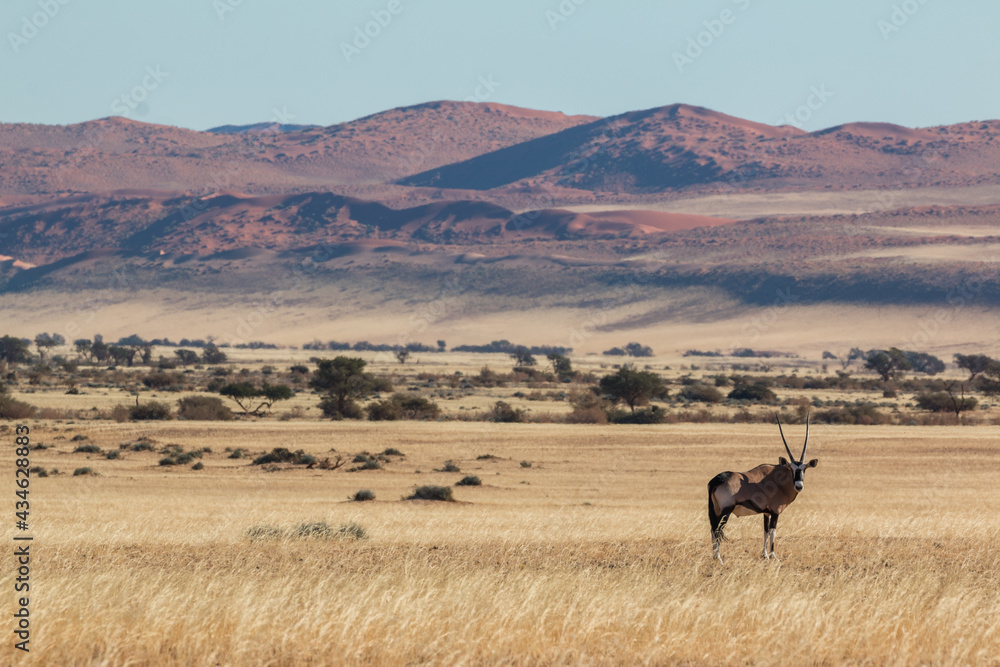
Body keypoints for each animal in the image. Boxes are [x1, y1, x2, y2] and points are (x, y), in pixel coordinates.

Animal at [708, 415, 818, 562]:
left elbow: (765, 532)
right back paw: (719, 559)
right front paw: (773, 556)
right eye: (791, 468)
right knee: (717, 530)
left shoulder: (766, 513)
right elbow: (773, 532)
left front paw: (764, 555)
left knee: (713, 529)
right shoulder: (776, 512)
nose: (799, 486)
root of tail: (716, 481)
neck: (778, 481)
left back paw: (715, 557)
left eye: (804, 469)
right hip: (726, 511)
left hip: (716, 510)